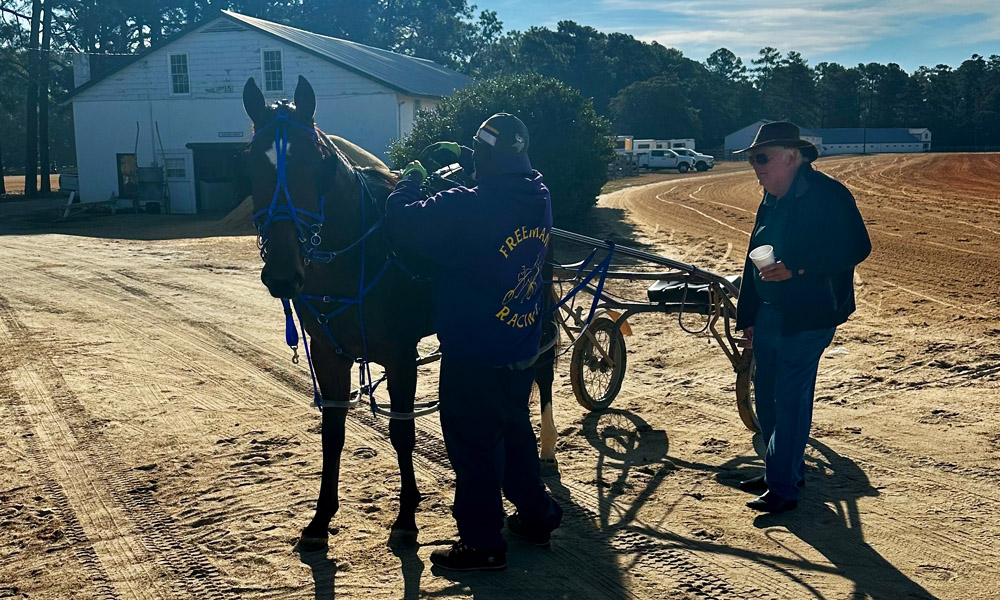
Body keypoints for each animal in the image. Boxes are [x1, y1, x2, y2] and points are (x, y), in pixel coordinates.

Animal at [238, 75, 560, 550]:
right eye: (251, 166)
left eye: (318, 165)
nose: (282, 274)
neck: (357, 255)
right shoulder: (328, 353)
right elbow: (332, 434)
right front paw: (320, 520)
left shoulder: (400, 355)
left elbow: (402, 433)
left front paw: (407, 516)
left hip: (540, 311)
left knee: (541, 372)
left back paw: (547, 448)